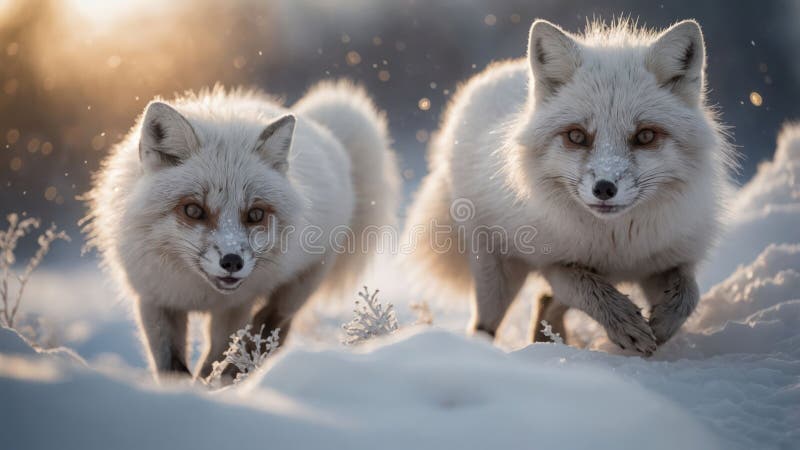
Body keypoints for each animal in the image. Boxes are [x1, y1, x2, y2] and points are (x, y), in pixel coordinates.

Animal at [84, 82, 399, 379]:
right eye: (193, 210)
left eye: (255, 214)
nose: (232, 262)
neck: (198, 292)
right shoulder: (154, 300)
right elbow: (171, 368)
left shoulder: (235, 307)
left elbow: (215, 358)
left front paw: (211, 386)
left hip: (299, 285)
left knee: (271, 326)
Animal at [404, 19, 735, 355]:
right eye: (577, 136)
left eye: (645, 136)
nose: (604, 188)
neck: (618, 245)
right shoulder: (555, 262)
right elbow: (591, 290)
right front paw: (626, 325)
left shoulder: (663, 261)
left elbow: (688, 295)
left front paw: (663, 324)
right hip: (497, 273)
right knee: (486, 325)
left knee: (546, 302)